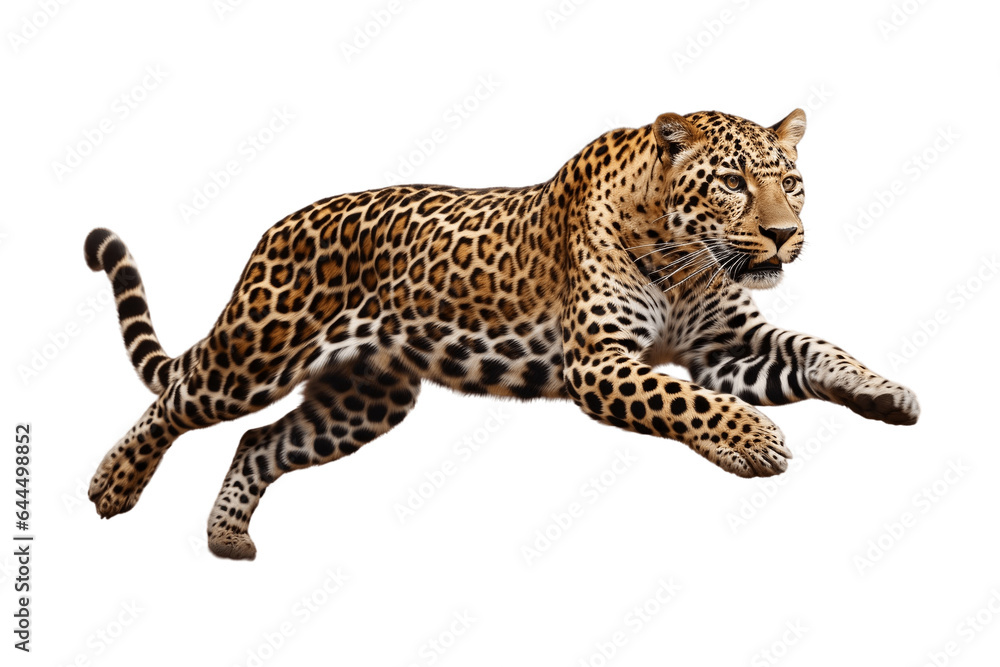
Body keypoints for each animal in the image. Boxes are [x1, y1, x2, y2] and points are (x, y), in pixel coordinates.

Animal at [84, 108, 919, 560]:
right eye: (734, 182)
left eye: (793, 182)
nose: (785, 235)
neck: (686, 258)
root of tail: (273, 230)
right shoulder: (599, 362)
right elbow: (681, 399)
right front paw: (750, 440)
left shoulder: (726, 348)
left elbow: (817, 350)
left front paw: (886, 393)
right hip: (259, 349)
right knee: (178, 400)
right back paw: (112, 484)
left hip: (365, 398)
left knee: (259, 442)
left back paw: (226, 538)